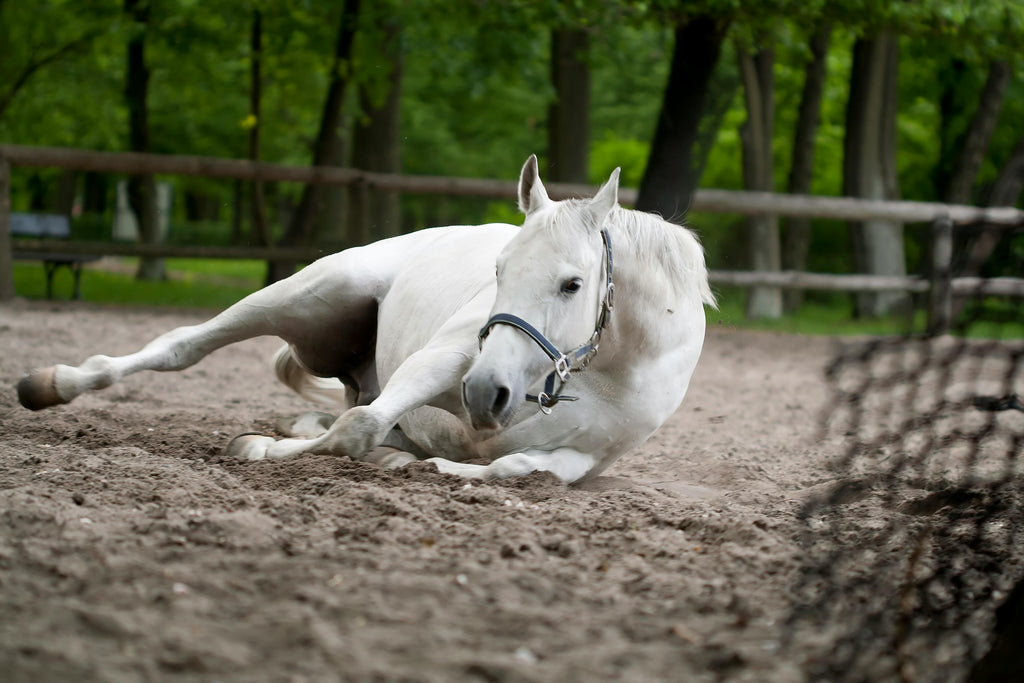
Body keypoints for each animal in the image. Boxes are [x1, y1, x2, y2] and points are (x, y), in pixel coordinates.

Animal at [16, 156, 716, 484]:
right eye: (498, 270)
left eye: (573, 284)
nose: (486, 393)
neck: (610, 368)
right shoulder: (448, 360)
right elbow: (357, 428)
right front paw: (262, 448)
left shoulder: (589, 456)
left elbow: (518, 468)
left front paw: (428, 466)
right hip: (306, 294)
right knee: (183, 346)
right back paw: (51, 385)